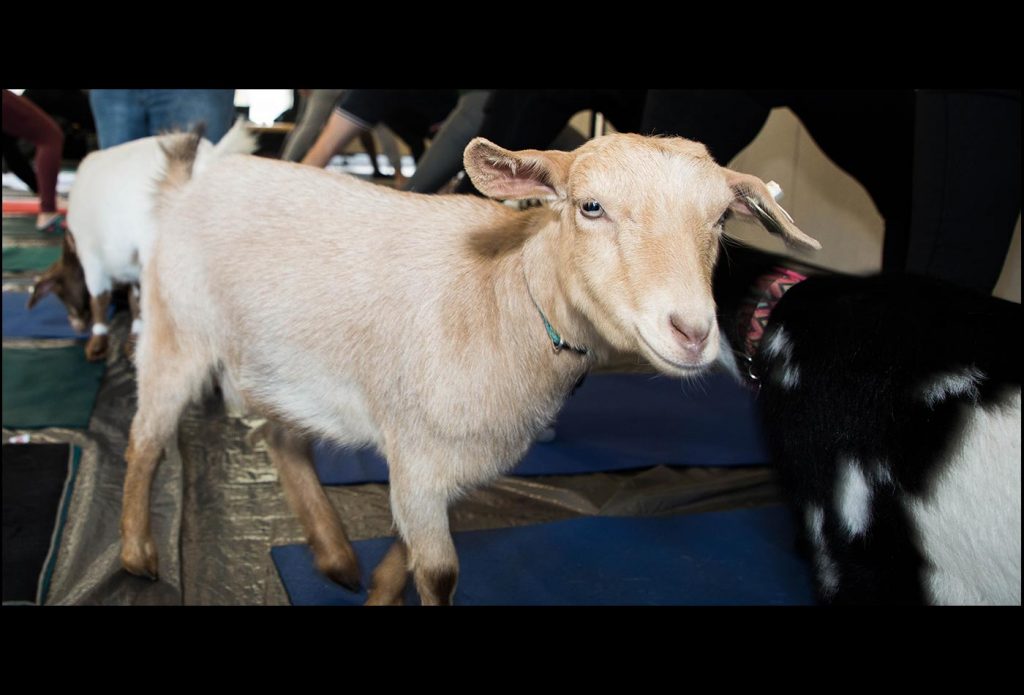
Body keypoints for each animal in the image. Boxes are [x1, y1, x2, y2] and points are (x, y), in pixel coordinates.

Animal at [27, 120, 257, 361]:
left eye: (59, 293)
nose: (77, 325)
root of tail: (209, 157)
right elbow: (135, 300)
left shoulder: (92, 257)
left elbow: (99, 298)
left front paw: (98, 343)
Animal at [121, 132, 820, 604]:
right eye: (589, 207)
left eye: (721, 218)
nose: (693, 331)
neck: (502, 294)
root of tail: (188, 185)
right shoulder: (419, 457)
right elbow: (439, 572)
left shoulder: (438, 466)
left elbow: (406, 549)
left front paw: (379, 590)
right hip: (176, 328)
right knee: (146, 440)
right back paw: (135, 554)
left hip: (283, 362)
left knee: (280, 437)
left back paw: (335, 556)